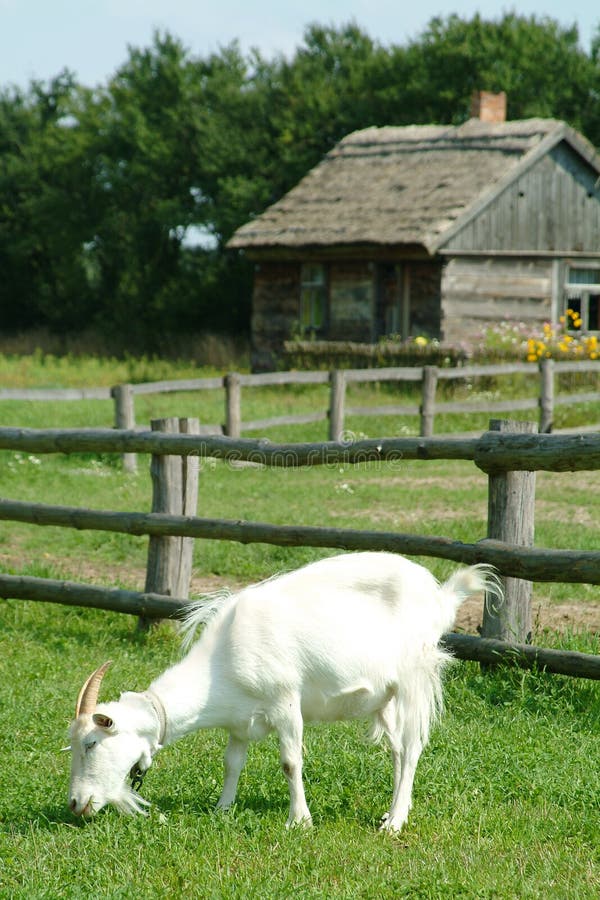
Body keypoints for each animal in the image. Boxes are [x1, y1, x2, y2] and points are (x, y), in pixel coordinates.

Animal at [67, 551, 500, 831]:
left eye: (91, 743)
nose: (75, 804)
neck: (222, 660)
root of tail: (440, 597)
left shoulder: (285, 702)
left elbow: (291, 762)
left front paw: (300, 821)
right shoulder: (239, 721)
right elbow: (231, 763)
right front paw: (222, 809)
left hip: (414, 678)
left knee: (411, 748)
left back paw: (394, 821)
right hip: (387, 695)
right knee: (396, 750)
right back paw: (392, 809)